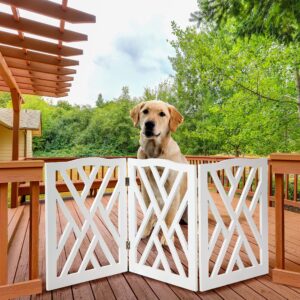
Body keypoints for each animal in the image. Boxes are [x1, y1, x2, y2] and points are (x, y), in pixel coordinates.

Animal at [129, 99, 188, 245]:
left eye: (162, 114)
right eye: (145, 111)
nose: (149, 124)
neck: (154, 153)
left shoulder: (173, 189)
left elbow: (170, 217)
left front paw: (167, 238)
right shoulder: (145, 188)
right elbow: (148, 213)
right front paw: (145, 230)